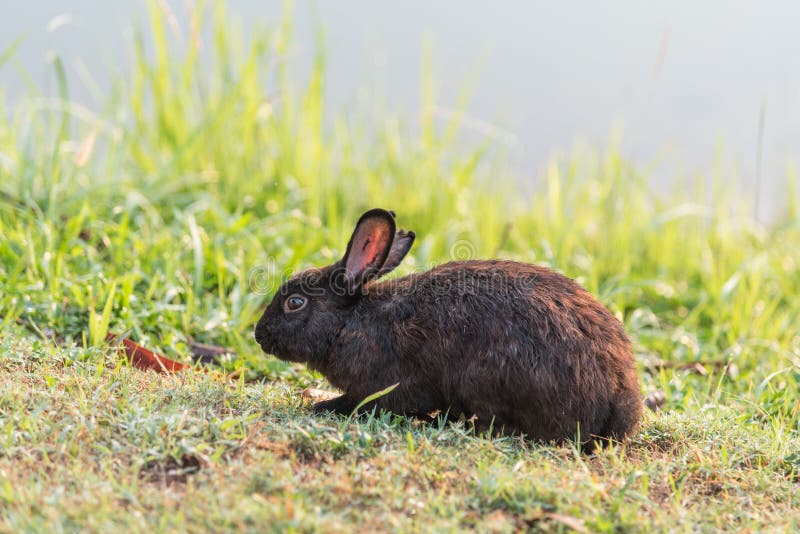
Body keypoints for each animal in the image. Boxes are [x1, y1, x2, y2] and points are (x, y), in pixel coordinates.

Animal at [255, 208, 643, 446]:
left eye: (294, 303)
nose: (259, 336)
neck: (348, 323)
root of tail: (617, 404)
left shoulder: (384, 383)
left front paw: (320, 407)